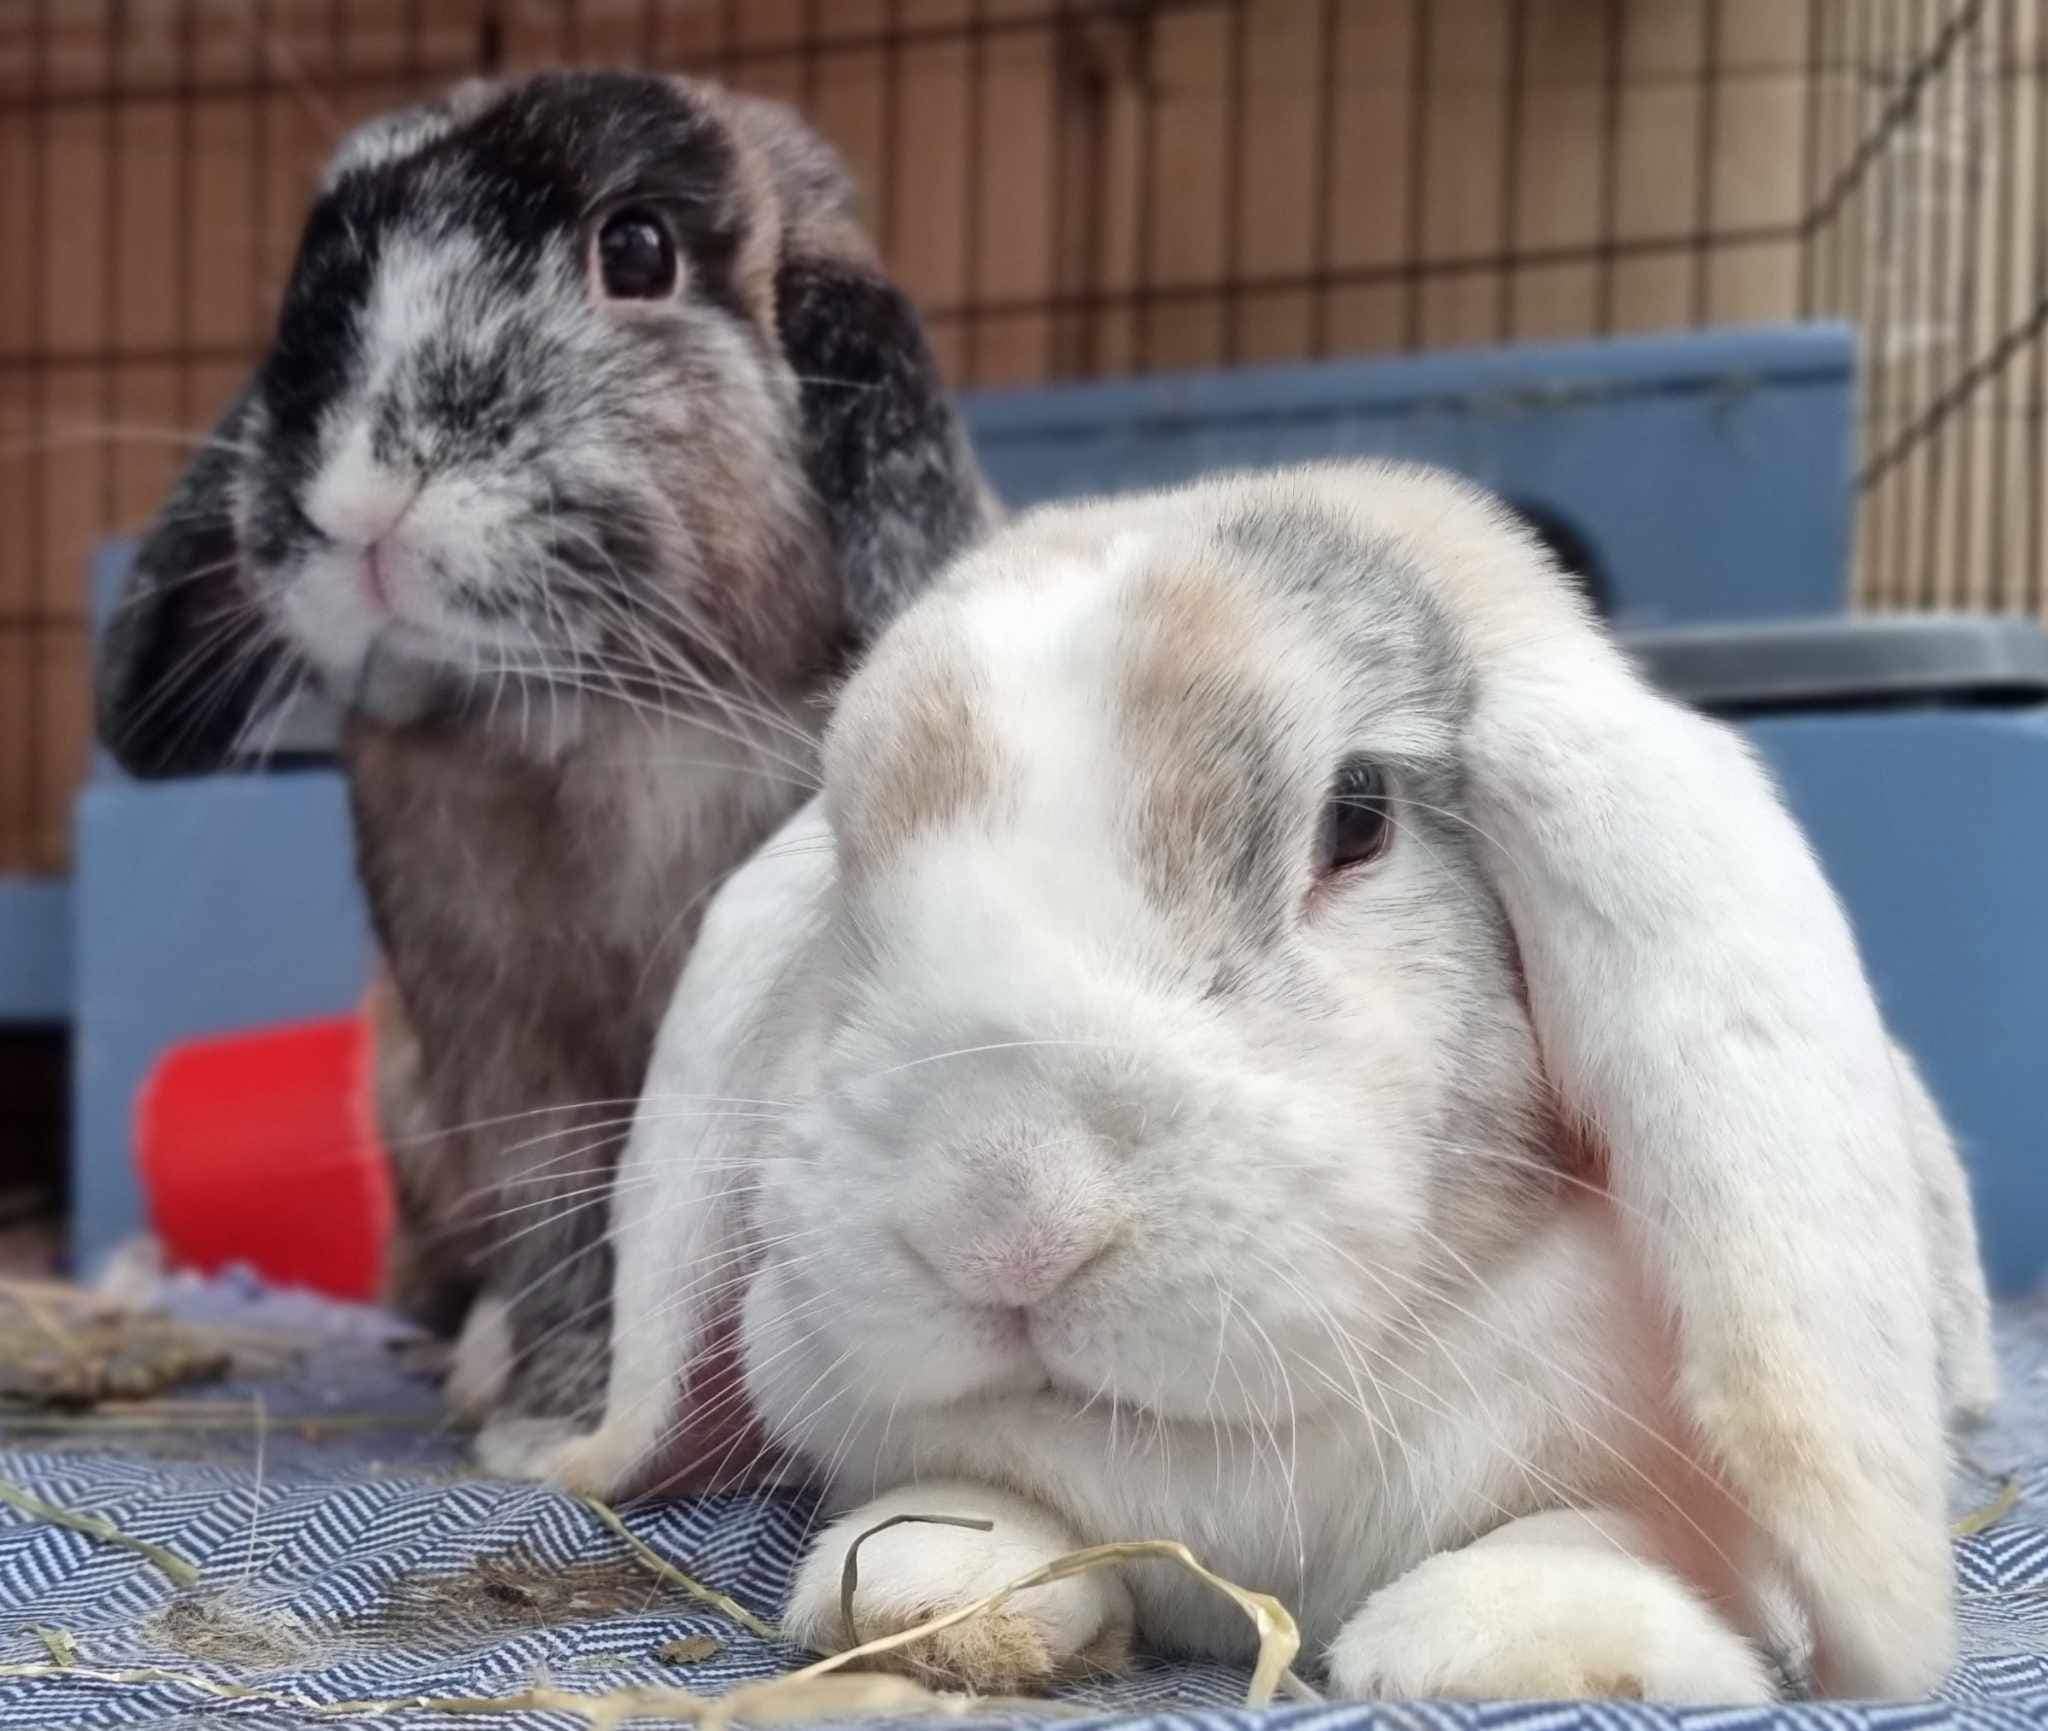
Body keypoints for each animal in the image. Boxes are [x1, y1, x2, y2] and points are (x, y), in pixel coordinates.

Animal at [94, 70, 996, 1423]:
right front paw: (553, 1414)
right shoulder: (503, 1053)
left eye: (638, 250)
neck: (609, 714)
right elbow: (559, 1219)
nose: (355, 495)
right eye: (317, 262)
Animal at [485, 458, 1995, 1702]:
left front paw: (1519, 1635)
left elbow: (1620, 1529)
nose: (1003, 1220)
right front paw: (939, 1586)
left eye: (1356, 820)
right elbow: (981, 1498)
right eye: (849, 865)